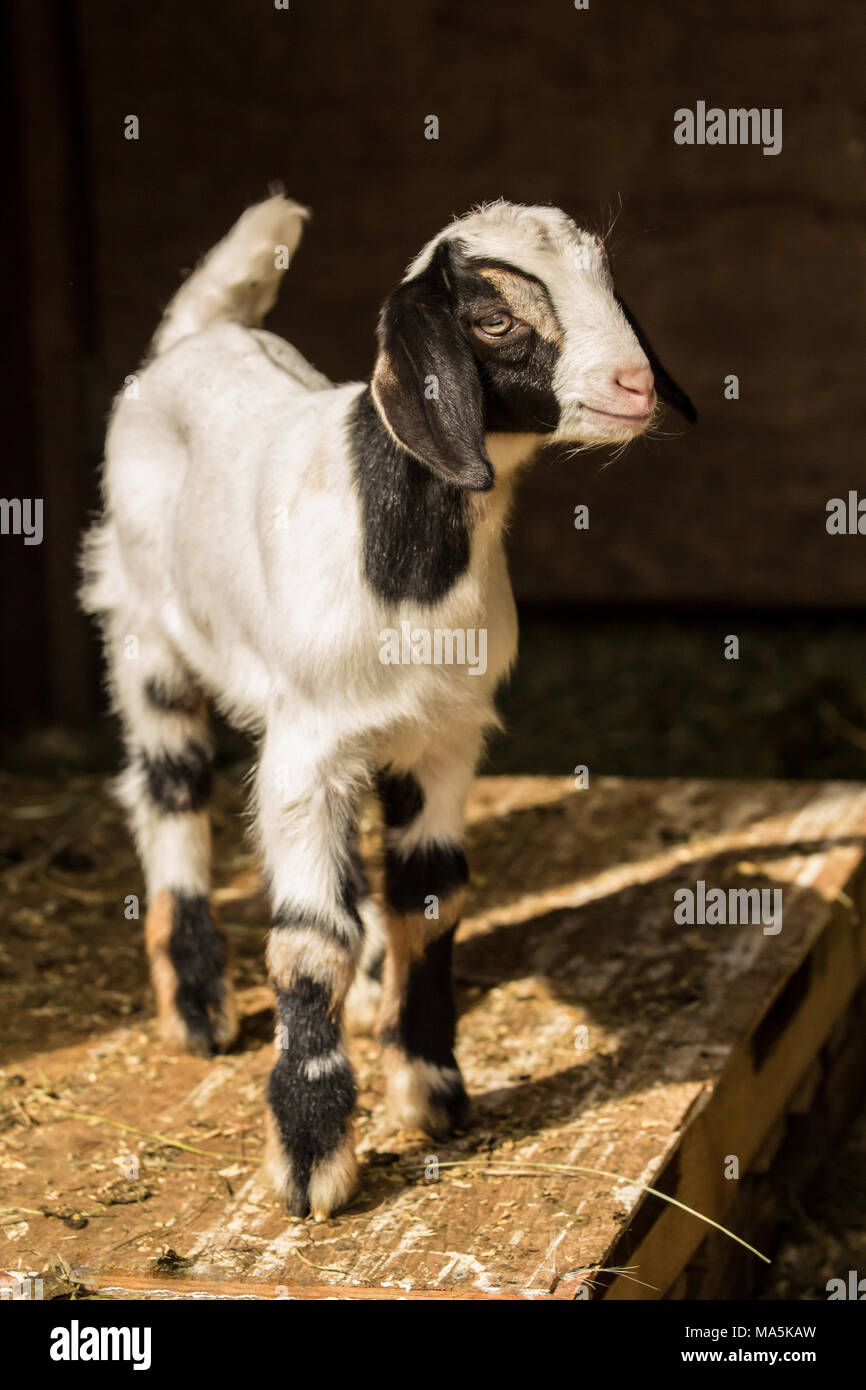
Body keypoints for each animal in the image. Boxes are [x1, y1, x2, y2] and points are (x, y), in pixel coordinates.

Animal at [81, 196, 695, 1220]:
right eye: (493, 317)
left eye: (607, 284)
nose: (635, 383)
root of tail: (203, 332)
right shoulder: (302, 752)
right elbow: (308, 944)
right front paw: (310, 1161)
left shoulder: (444, 741)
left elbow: (432, 905)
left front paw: (431, 1089)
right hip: (142, 629)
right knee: (168, 788)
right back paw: (198, 1004)